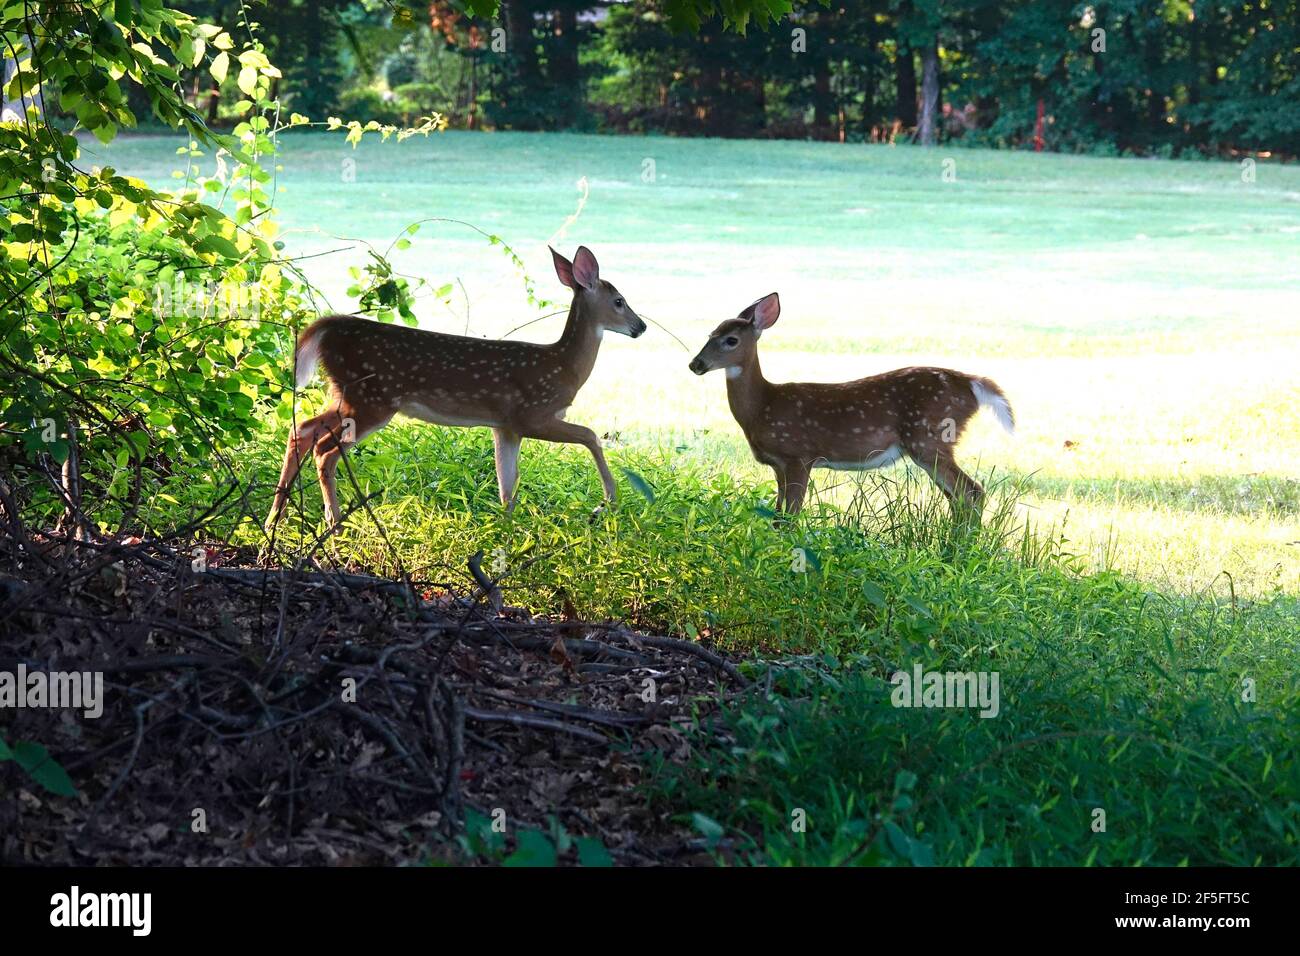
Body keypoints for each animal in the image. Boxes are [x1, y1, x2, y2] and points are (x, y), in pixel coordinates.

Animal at [264, 246, 646, 531]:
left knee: (301, 430)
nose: (640, 327)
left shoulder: (505, 426)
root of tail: (329, 329)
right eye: (619, 301)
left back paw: (275, 520)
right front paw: (608, 502)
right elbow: (591, 435)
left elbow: (508, 485)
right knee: (324, 449)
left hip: (346, 394)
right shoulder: (533, 413)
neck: (564, 367)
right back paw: (335, 522)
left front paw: (506, 530)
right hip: (372, 397)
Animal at [688, 292, 1014, 517]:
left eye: (731, 340)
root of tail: (972, 384)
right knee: (957, 497)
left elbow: (790, 517)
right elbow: (778, 516)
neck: (763, 406)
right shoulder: (778, 465)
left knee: (971, 492)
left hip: (929, 437)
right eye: (710, 334)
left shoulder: (798, 454)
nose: (695, 364)